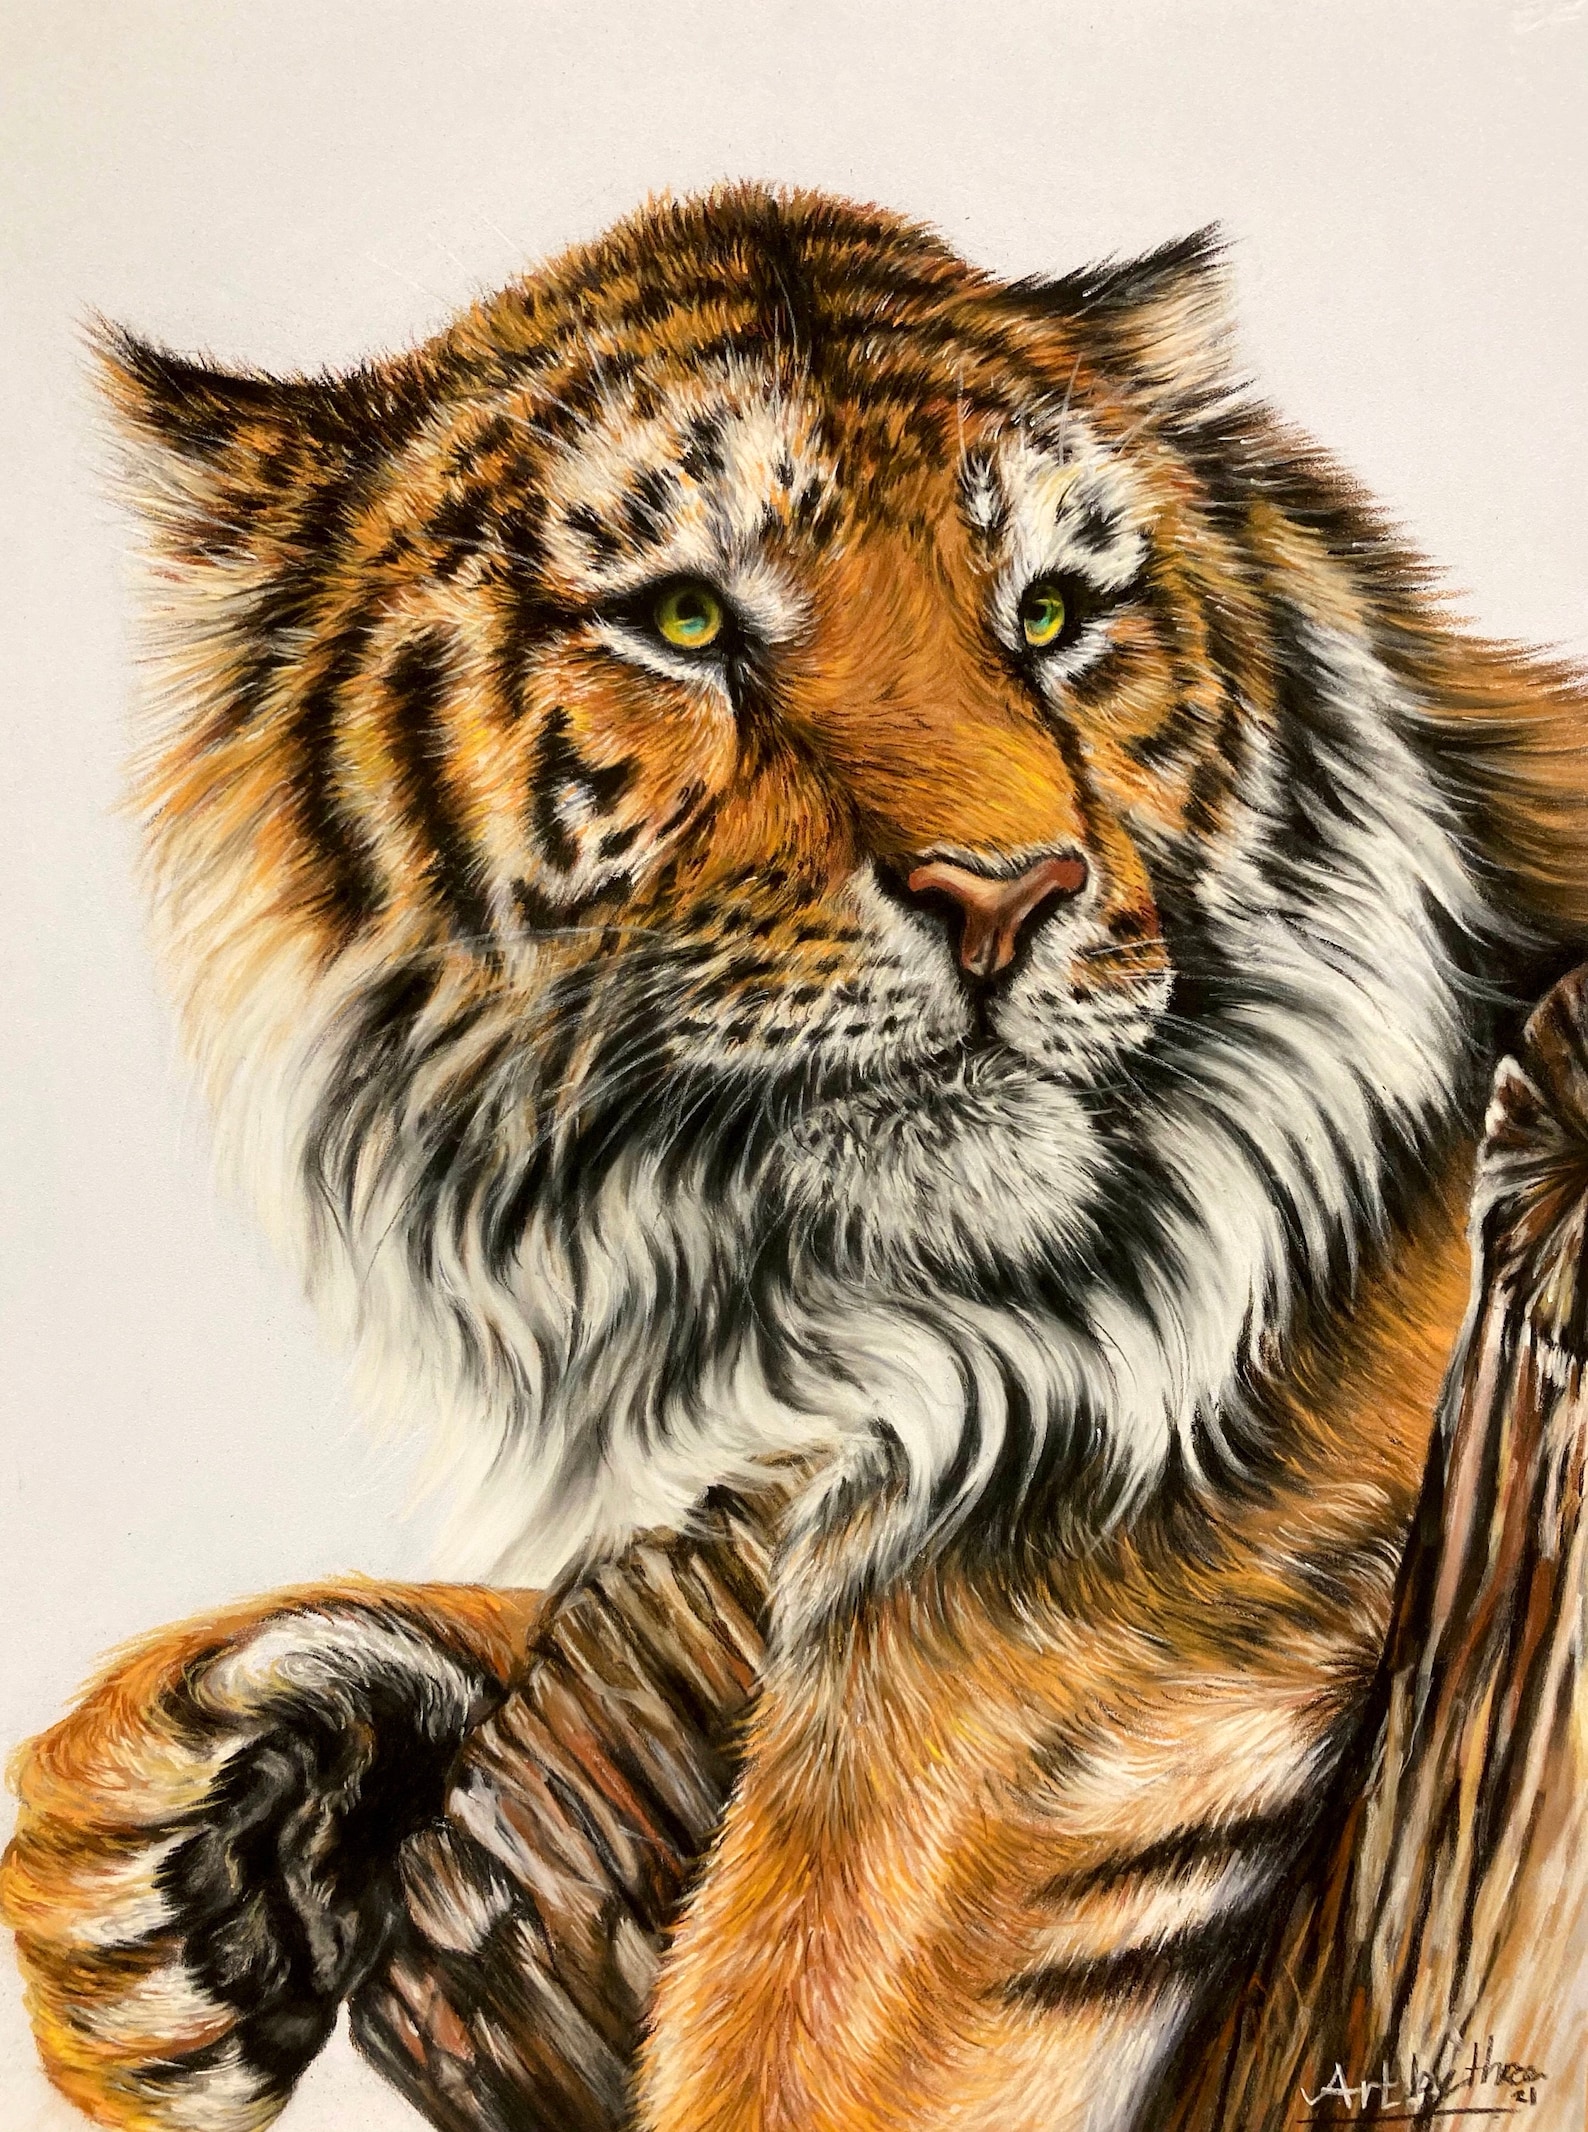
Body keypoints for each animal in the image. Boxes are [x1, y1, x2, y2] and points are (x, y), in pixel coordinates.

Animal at [4, 183, 1587, 2132]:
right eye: (686, 621)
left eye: (1051, 613)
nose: (1005, 894)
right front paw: (138, 1854)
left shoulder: (1162, 1503)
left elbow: (840, 1927)